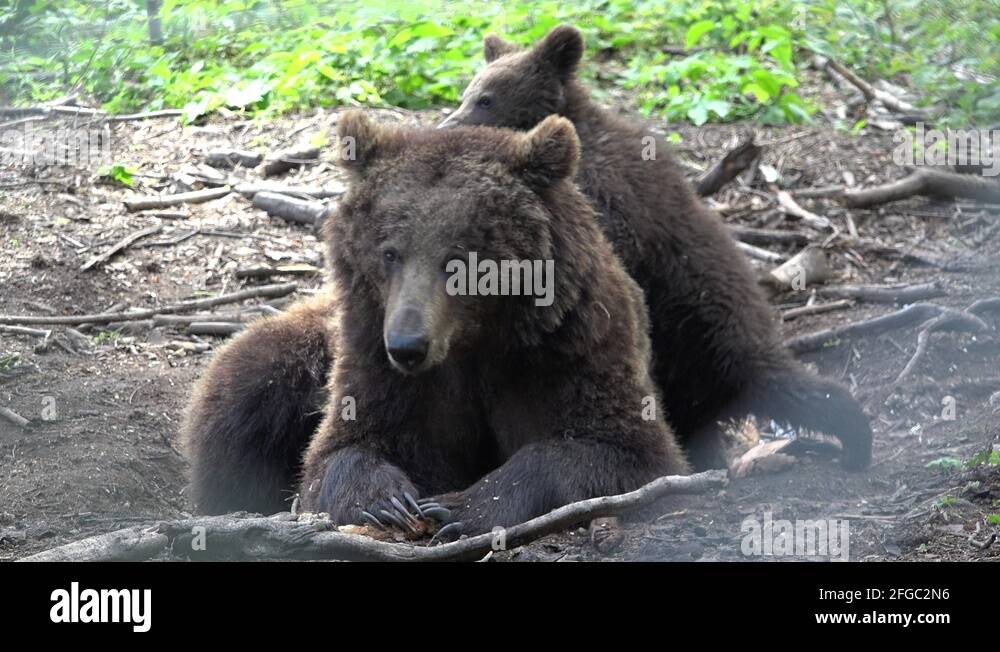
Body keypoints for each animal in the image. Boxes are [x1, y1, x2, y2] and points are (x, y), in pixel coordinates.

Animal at [184, 111, 689, 536]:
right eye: (389, 252)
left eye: (462, 258)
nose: (407, 345)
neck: (476, 341)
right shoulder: (377, 361)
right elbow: (341, 450)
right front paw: (386, 500)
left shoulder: (571, 349)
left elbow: (622, 450)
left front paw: (461, 507)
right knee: (246, 388)